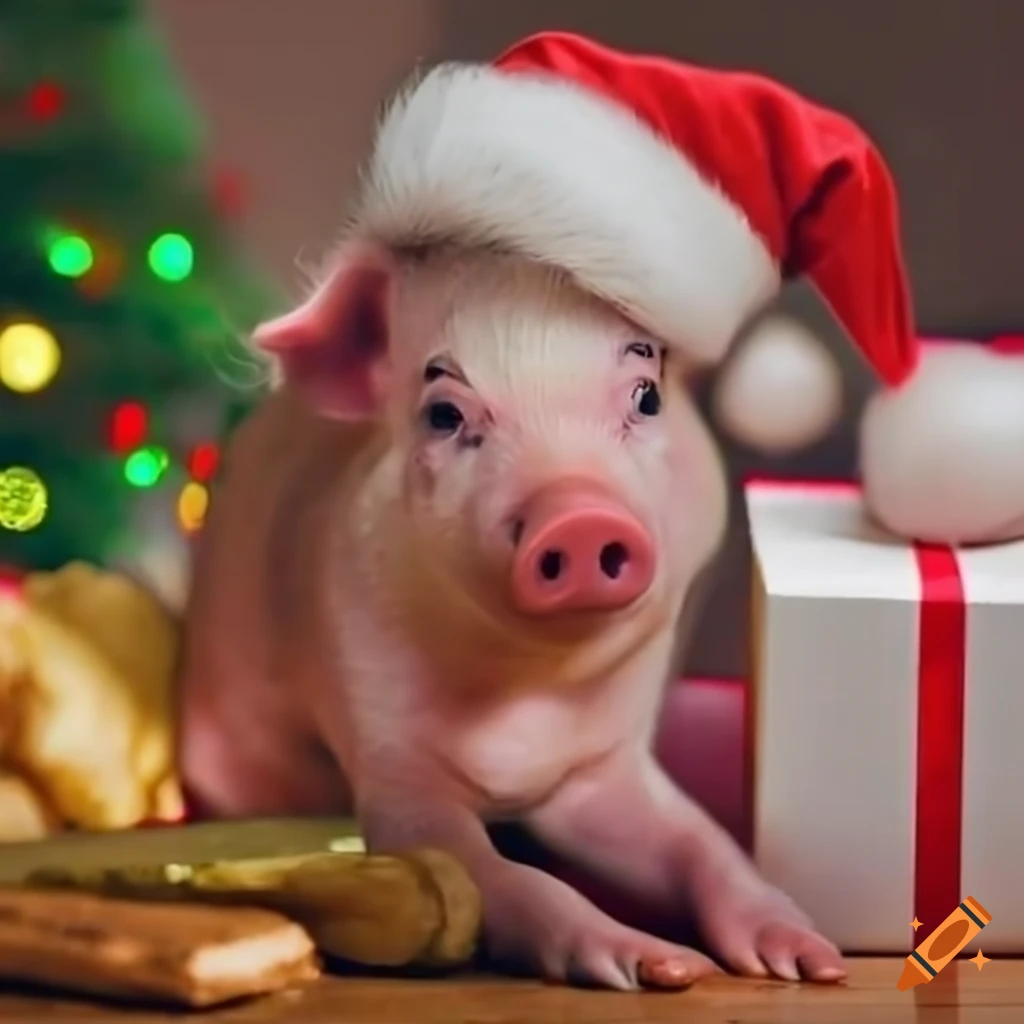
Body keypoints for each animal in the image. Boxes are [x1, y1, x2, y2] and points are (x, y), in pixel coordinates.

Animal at [179, 240, 846, 991]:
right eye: (444, 414)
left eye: (647, 396)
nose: (579, 516)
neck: (522, 699)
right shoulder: (388, 755)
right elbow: (494, 871)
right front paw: (658, 966)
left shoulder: (600, 764)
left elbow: (693, 836)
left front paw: (808, 961)